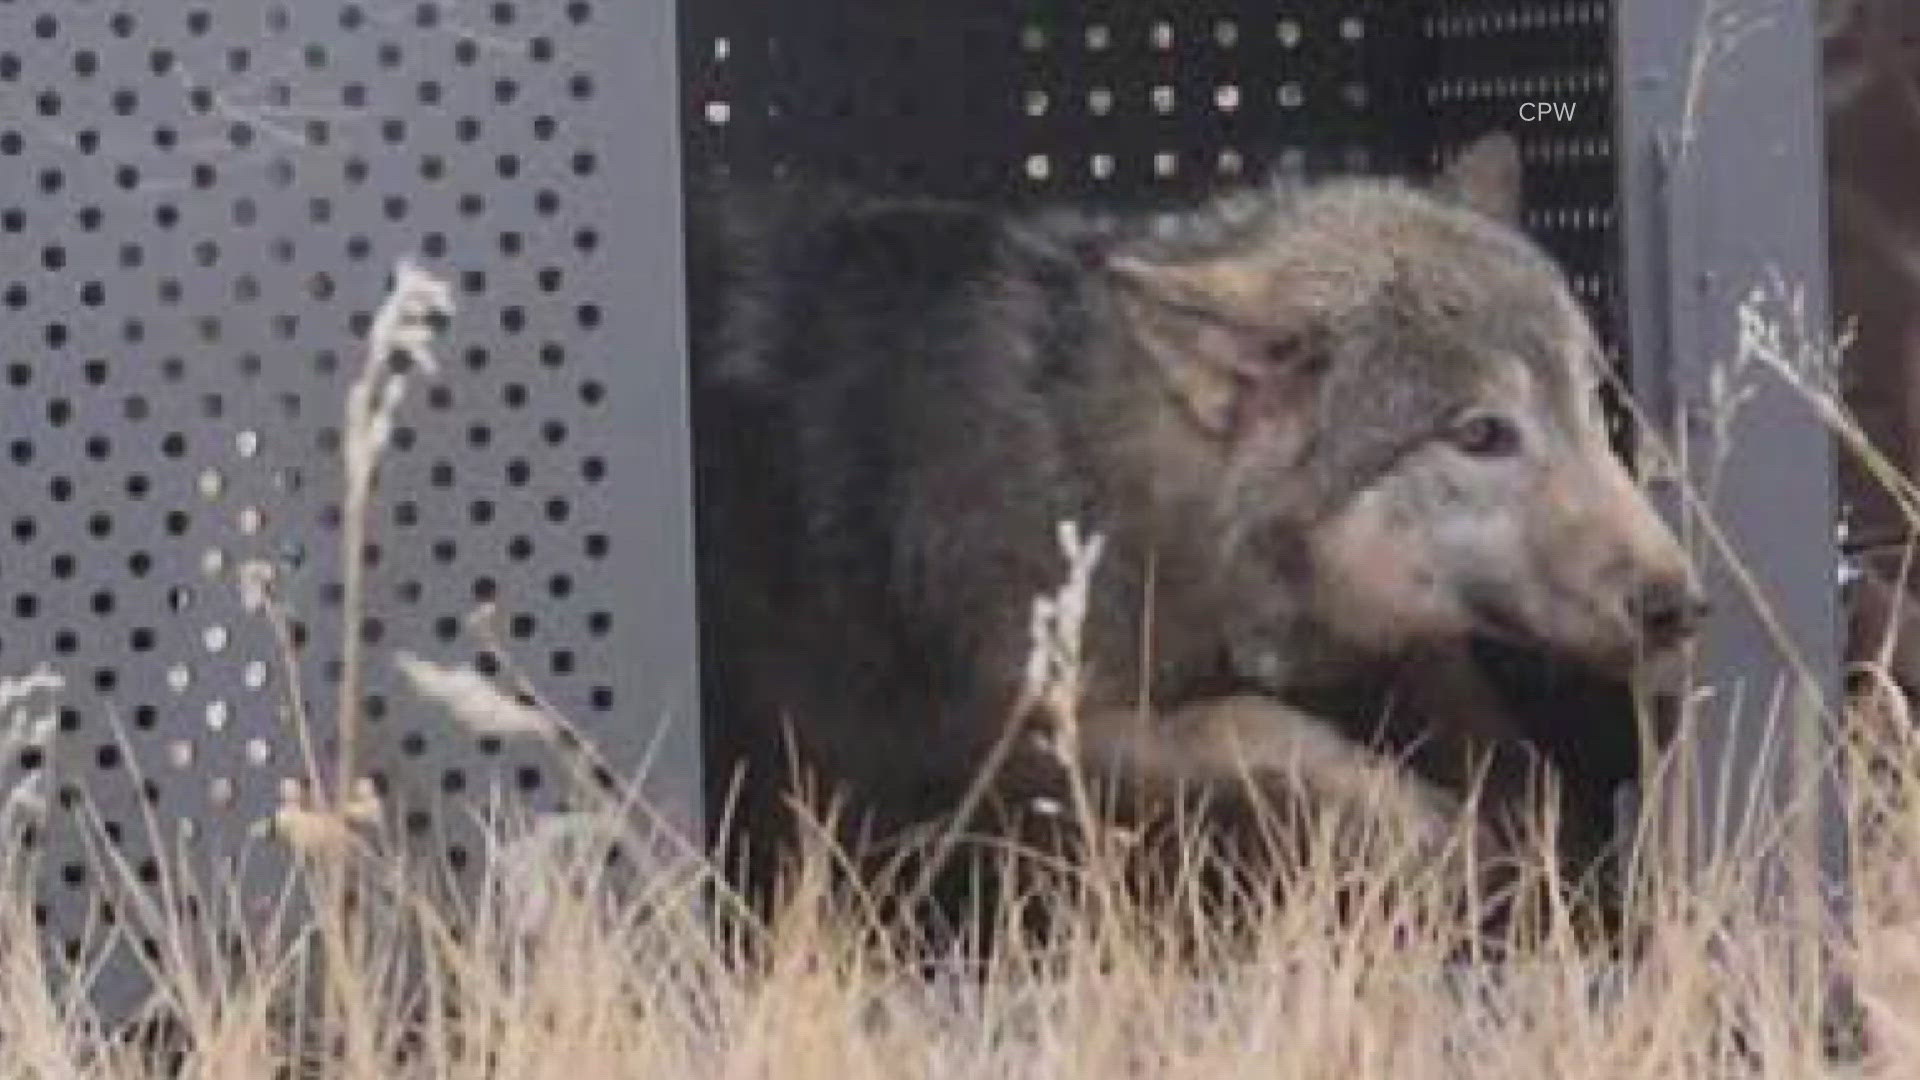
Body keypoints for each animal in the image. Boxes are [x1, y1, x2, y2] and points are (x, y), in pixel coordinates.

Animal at [686, 132, 1704, 927]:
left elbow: (1480, 721)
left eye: (1592, 404)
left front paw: (1541, 841)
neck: (1104, 483)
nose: (1680, 605)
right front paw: (1437, 833)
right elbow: (1250, 727)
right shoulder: (1018, 734)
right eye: (1483, 433)